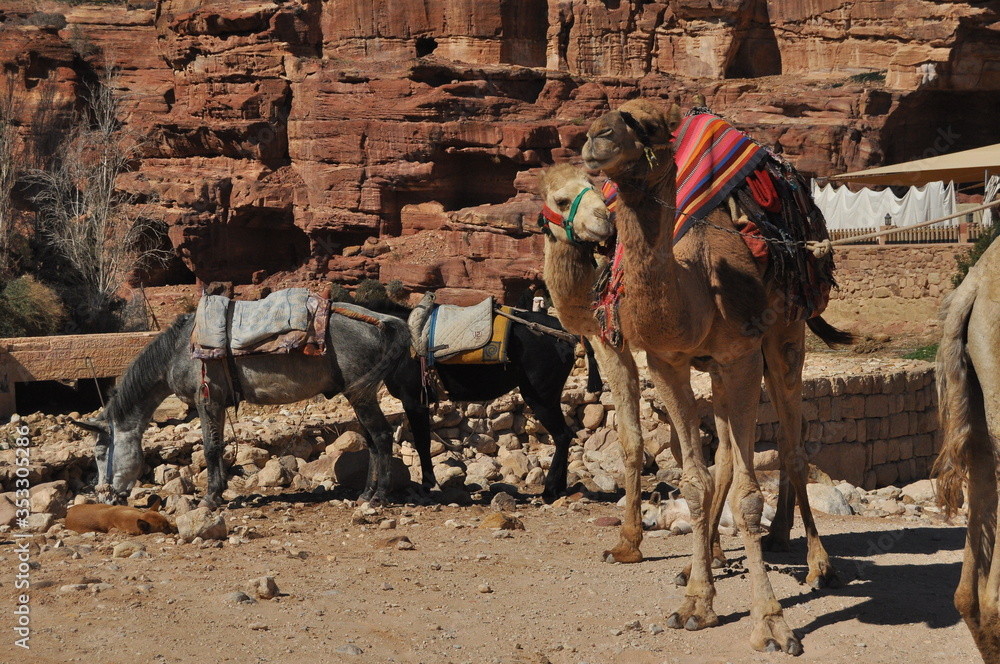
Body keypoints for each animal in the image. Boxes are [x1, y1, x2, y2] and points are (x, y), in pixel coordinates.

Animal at [574, 97, 846, 654]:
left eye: (648, 126)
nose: (597, 135)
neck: (695, 285)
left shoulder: (740, 357)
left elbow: (748, 495)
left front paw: (771, 623)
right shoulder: (668, 362)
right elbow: (696, 482)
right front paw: (696, 603)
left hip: (783, 338)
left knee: (792, 446)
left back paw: (816, 563)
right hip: (721, 370)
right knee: (725, 454)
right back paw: (719, 562)